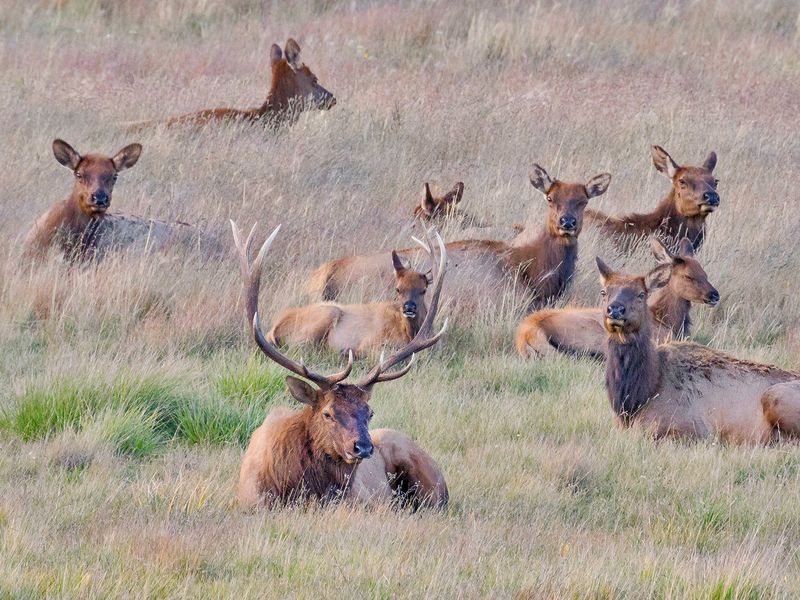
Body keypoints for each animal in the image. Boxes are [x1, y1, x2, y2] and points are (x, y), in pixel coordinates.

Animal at [270, 249, 438, 355]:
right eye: (398, 289)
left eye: (423, 290)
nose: (409, 307)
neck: (409, 334)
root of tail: (274, 329)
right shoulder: (369, 341)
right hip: (329, 312)